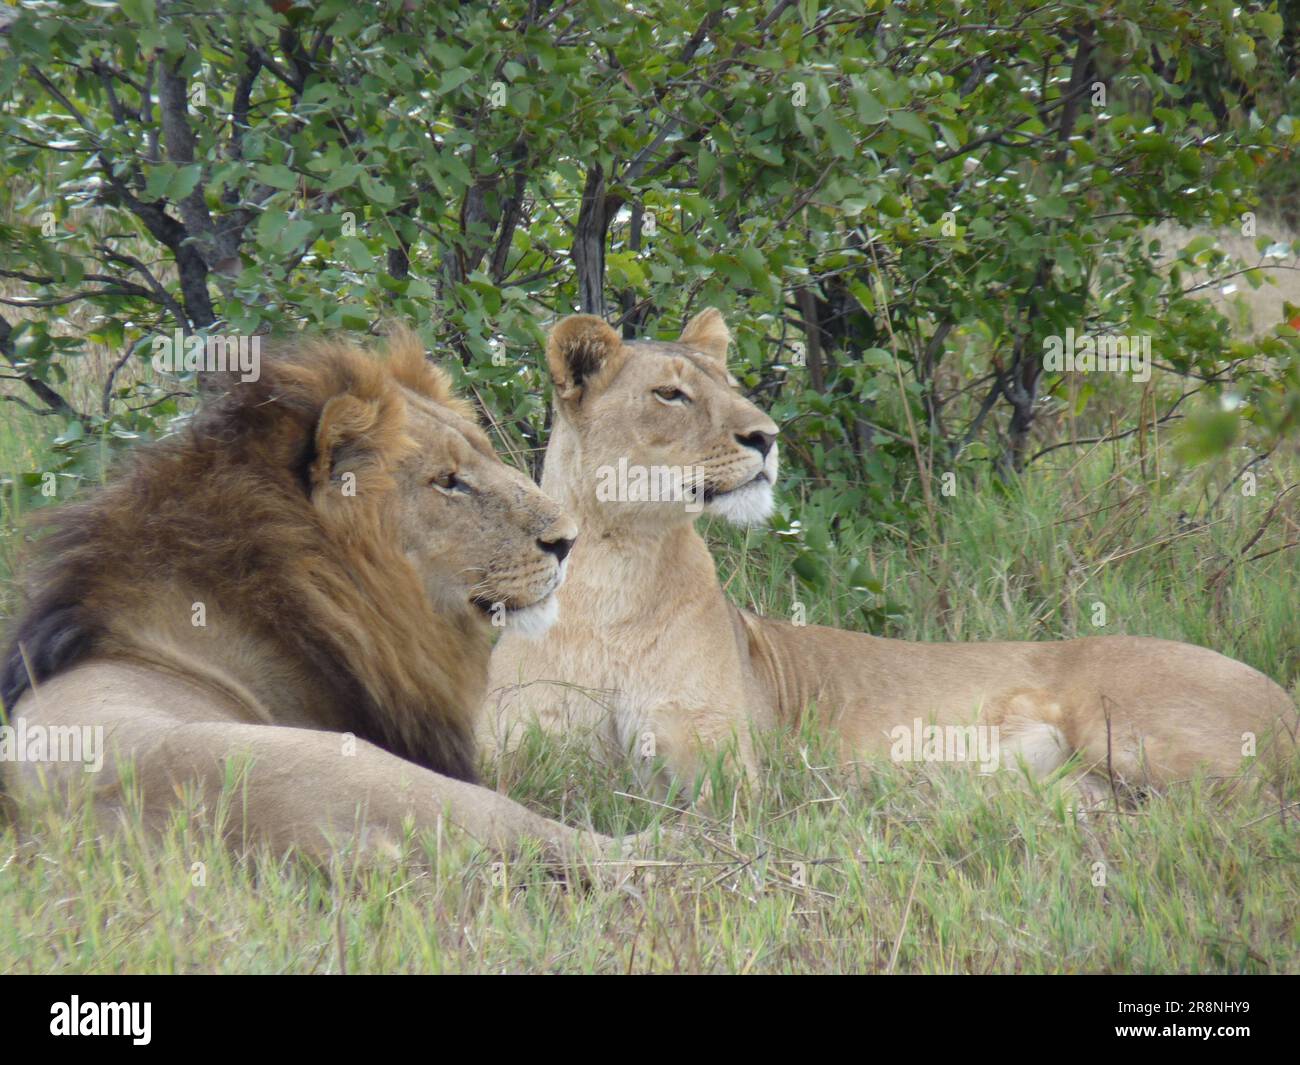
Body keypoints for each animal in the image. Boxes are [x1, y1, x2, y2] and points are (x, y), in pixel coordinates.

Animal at [483, 310, 1297, 800]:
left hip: (1140, 735)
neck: (616, 571)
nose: (767, 436)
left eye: (734, 387)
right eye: (671, 395)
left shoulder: (728, 767)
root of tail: (1284, 694)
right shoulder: (509, 749)